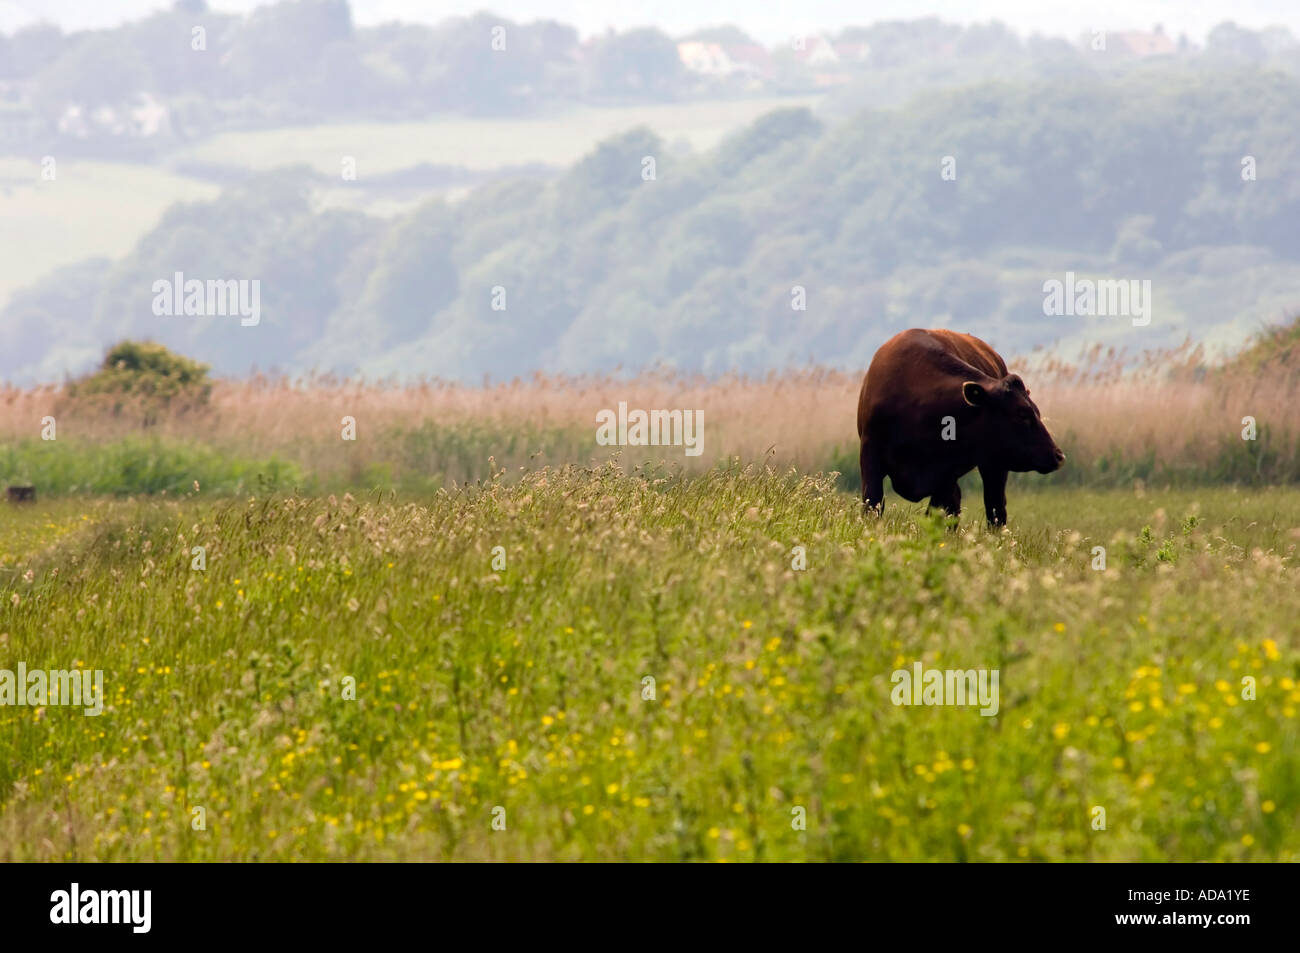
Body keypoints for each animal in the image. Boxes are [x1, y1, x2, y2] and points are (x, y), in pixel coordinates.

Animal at [857, 329, 1064, 526]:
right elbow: (872, 503)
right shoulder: (870, 453)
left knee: (994, 508)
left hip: (995, 464)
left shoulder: (947, 470)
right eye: (1022, 414)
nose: (1058, 455)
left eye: (1037, 412)